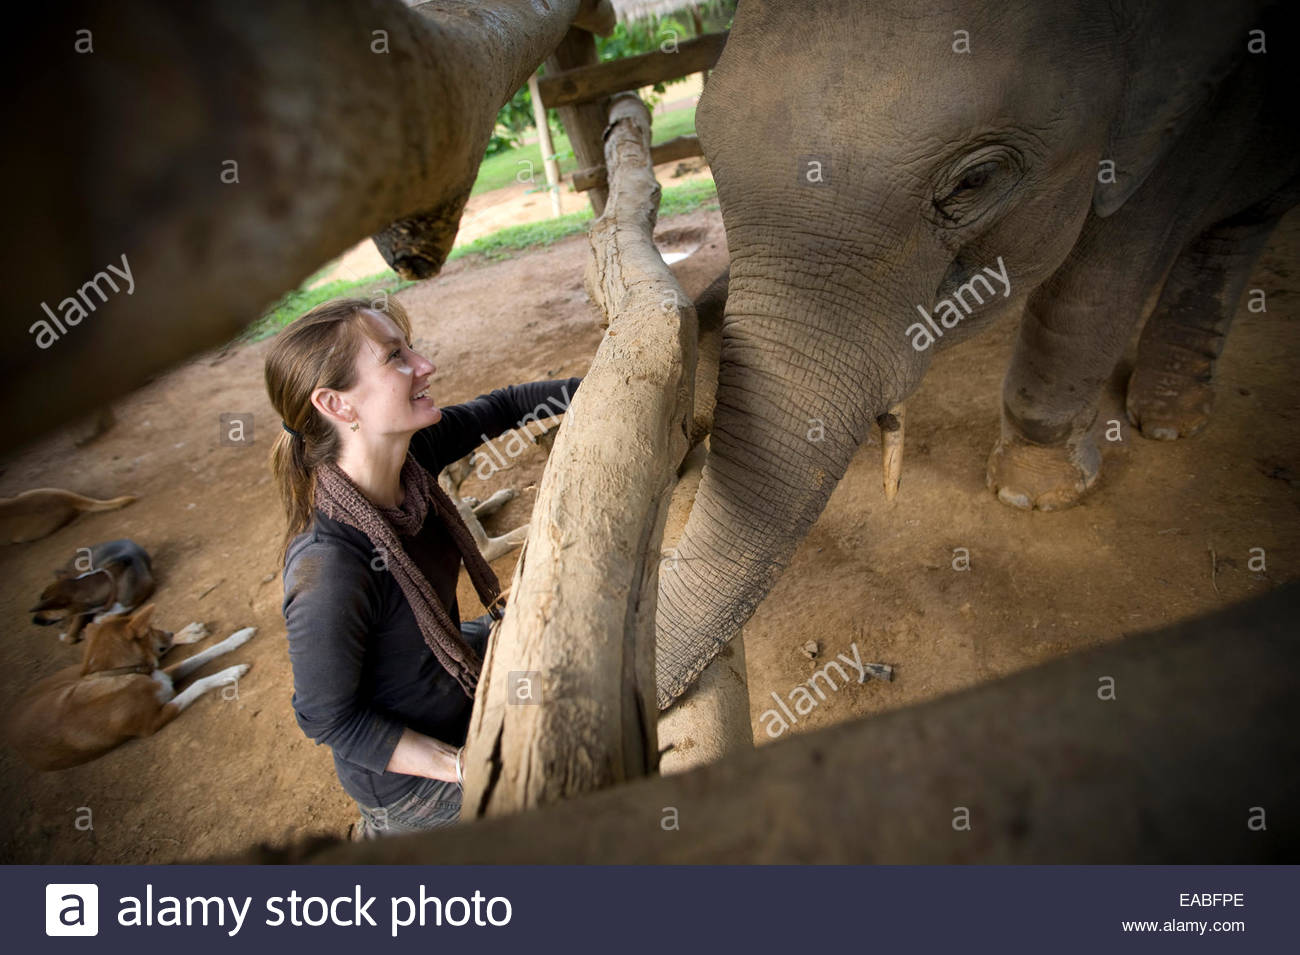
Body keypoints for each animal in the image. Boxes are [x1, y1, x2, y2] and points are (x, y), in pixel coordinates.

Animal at [654, 0, 1300, 708]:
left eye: (976, 180)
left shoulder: (1189, 123)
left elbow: (1101, 279)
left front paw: (1033, 496)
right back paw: (1167, 420)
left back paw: (1165, 425)